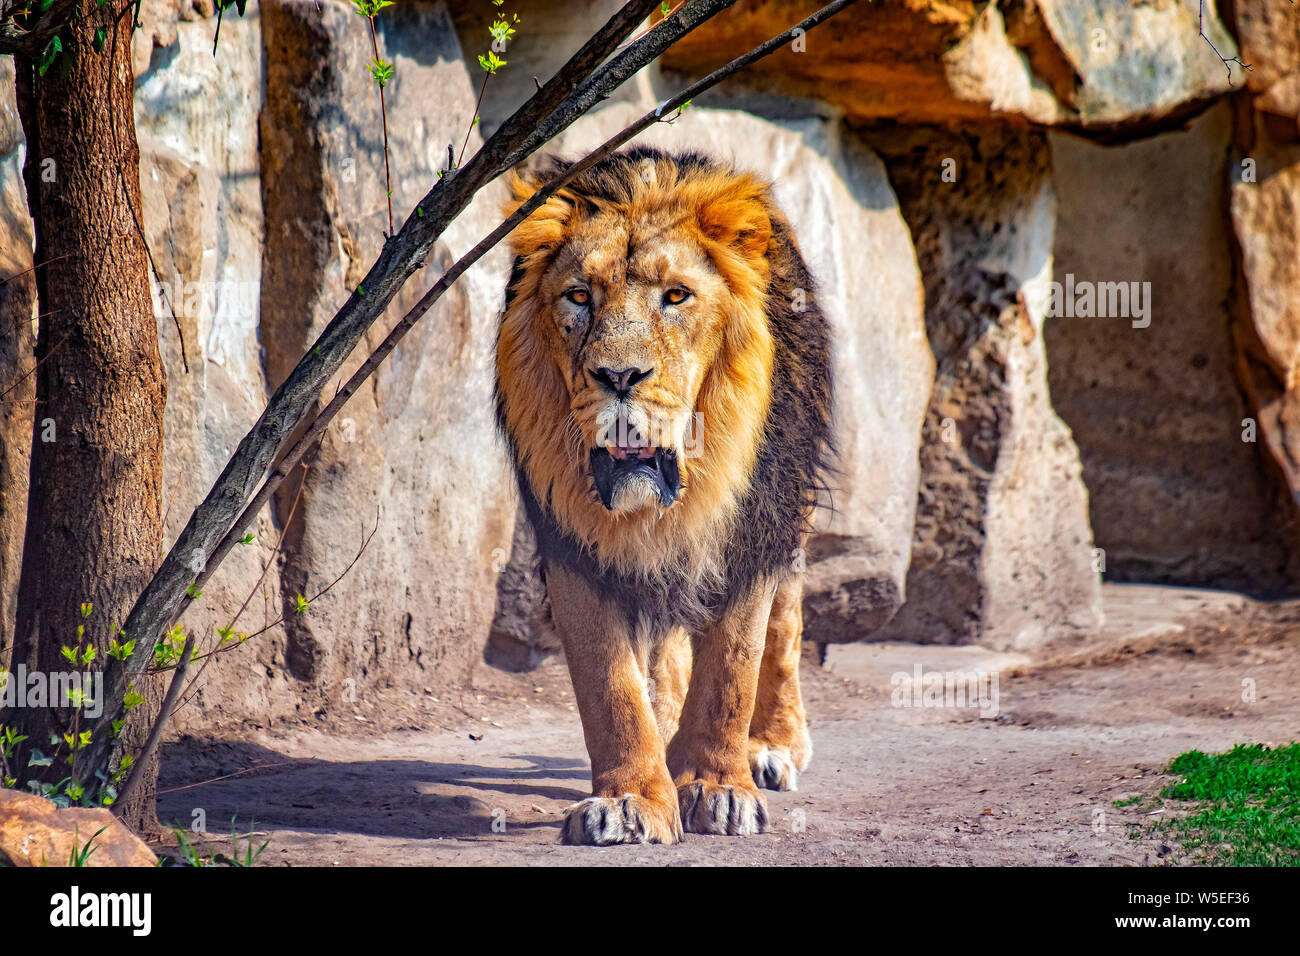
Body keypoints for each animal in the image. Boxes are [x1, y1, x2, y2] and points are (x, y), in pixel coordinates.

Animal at [495, 146, 833, 845]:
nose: (620, 376)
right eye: (579, 297)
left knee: (785, 624)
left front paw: (719, 787)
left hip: (792, 509)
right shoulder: (572, 544)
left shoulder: (752, 531)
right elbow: (610, 686)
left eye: (676, 296)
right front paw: (630, 801)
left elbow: (732, 667)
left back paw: (772, 745)